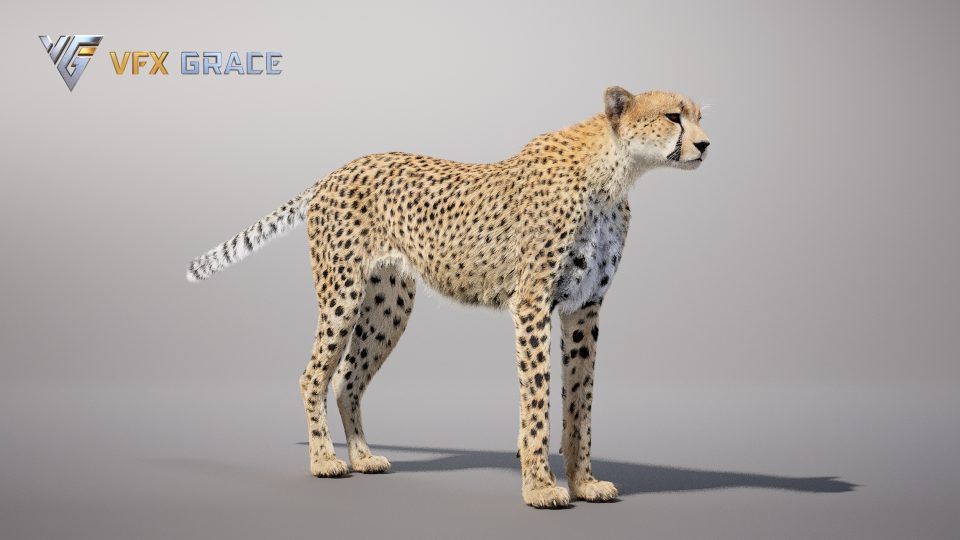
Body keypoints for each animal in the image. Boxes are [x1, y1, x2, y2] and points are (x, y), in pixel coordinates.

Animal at [186, 86, 711, 508]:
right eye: (673, 117)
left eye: (700, 115)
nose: (706, 143)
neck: (615, 172)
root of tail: (334, 171)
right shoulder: (533, 304)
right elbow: (538, 398)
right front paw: (541, 488)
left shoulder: (583, 309)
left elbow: (580, 401)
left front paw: (584, 483)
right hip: (342, 294)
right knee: (313, 375)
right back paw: (324, 460)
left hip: (389, 307)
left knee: (348, 379)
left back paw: (362, 457)